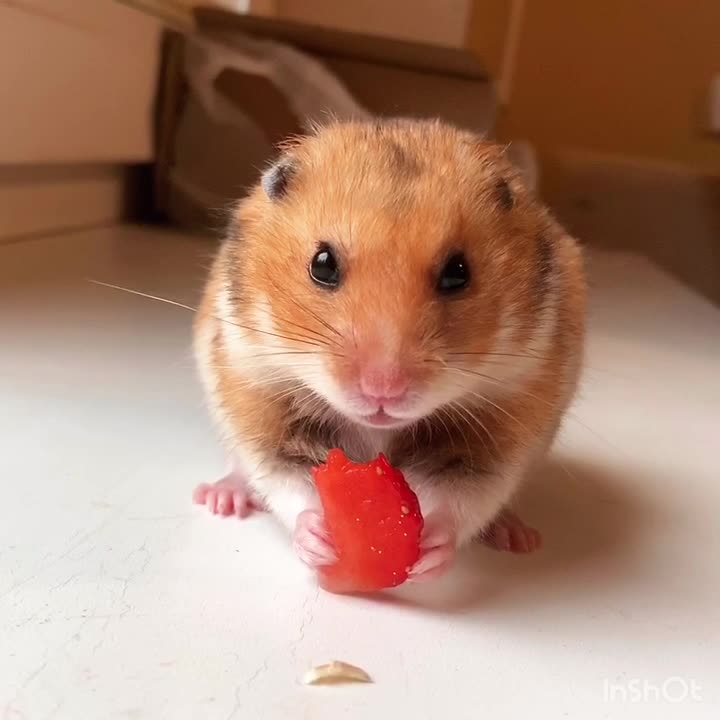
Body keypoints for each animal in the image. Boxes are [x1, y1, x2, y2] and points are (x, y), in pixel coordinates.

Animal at [192, 119, 586, 580]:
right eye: (322, 264)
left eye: (459, 273)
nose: (383, 392)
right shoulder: (258, 395)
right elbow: (287, 480)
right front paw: (320, 541)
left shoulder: (501, 426)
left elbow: (463, 495)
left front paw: (429, 549)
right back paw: (219, 499)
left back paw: (518, 538)